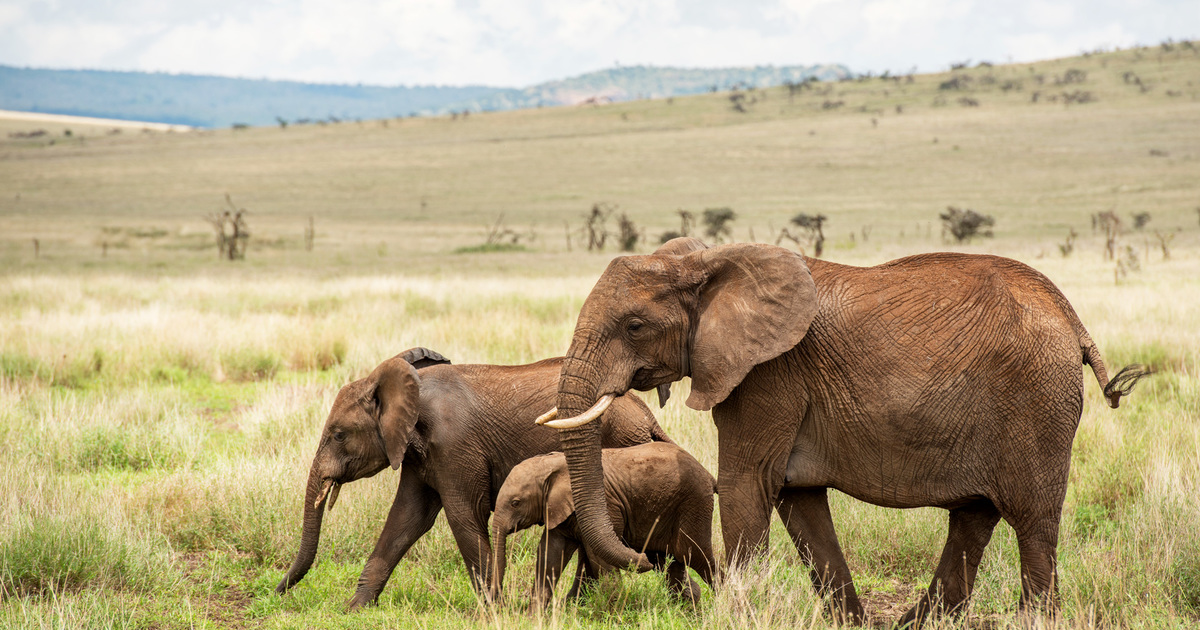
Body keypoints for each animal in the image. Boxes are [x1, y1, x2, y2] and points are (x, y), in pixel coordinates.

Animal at [275, 347, 674, 609]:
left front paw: (493, 612)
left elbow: (463, 516)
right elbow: (406, 519)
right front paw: (354, 609)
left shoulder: (455, 446)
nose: (277, 592)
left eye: (338, 435)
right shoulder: (419, 454)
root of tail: (646, 416)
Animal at [491, 442, 717, 609]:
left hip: (695, 503)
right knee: (668, 563)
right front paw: (535, 616)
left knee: (696, 555)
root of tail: (708, 474)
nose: (500, 603)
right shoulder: (557, 510)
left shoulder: (606, 506)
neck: (551, 465)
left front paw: (613, 611)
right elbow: (550, 555)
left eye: (515, 503)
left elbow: (597, 557)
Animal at [537, 237, 1149, 625]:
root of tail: (1073, 319)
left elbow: (744, 485)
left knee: (1033, 520)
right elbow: (799, 500)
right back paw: (916, 624)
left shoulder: (768, 375)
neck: (711, 262)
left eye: (635, 326)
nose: (646, 558)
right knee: (974, 517)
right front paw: (847, 622)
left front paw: (739, 614)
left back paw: (1030, 619)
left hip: (1036, 404)